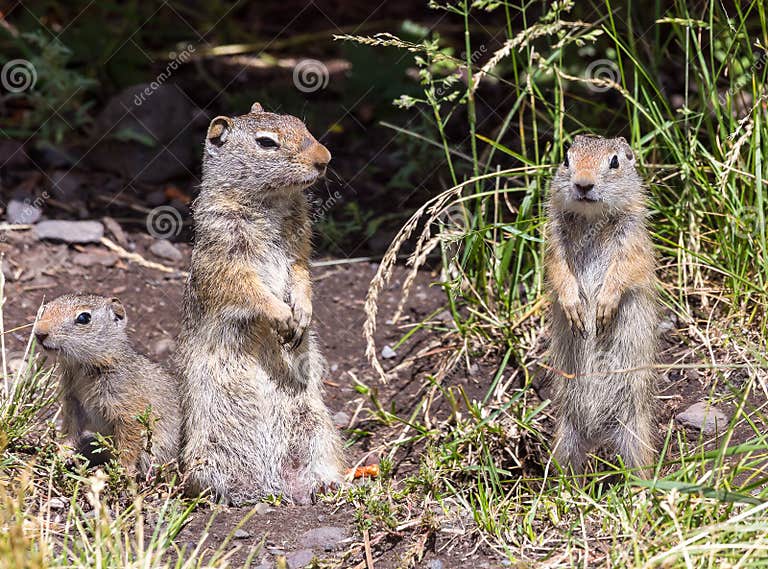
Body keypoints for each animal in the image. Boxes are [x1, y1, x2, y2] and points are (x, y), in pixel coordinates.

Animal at [33, 293, 181, 477]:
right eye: (46, 308)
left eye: (83, 318)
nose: (39, 333)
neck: (83, 367)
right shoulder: (73, 405)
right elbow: (70, 431)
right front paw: (60, 455)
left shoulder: (128, 413)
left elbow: (128, 444)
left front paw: (122, 471)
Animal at [177, 102, 344, 505]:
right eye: (266, 142)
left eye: (301, 124)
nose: (325, 158)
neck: (271, 201)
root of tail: (272, 486)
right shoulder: (226, 257)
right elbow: (249, 290)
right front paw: (281, 314)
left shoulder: (299, 252)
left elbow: (301, 278)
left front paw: (302, 312)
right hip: (209, 446)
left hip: (317, 426)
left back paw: (324, 485)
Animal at [545, 135, 658, 476]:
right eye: (566, 159)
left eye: (615, 162)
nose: (583, 184)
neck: (590, 218)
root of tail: (597, 434)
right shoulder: (553, 242)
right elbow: (558, 271)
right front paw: (575, 309)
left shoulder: (633, 239)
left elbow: (625, 270)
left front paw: (604, 307)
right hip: (565, 437)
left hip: (634, 431)